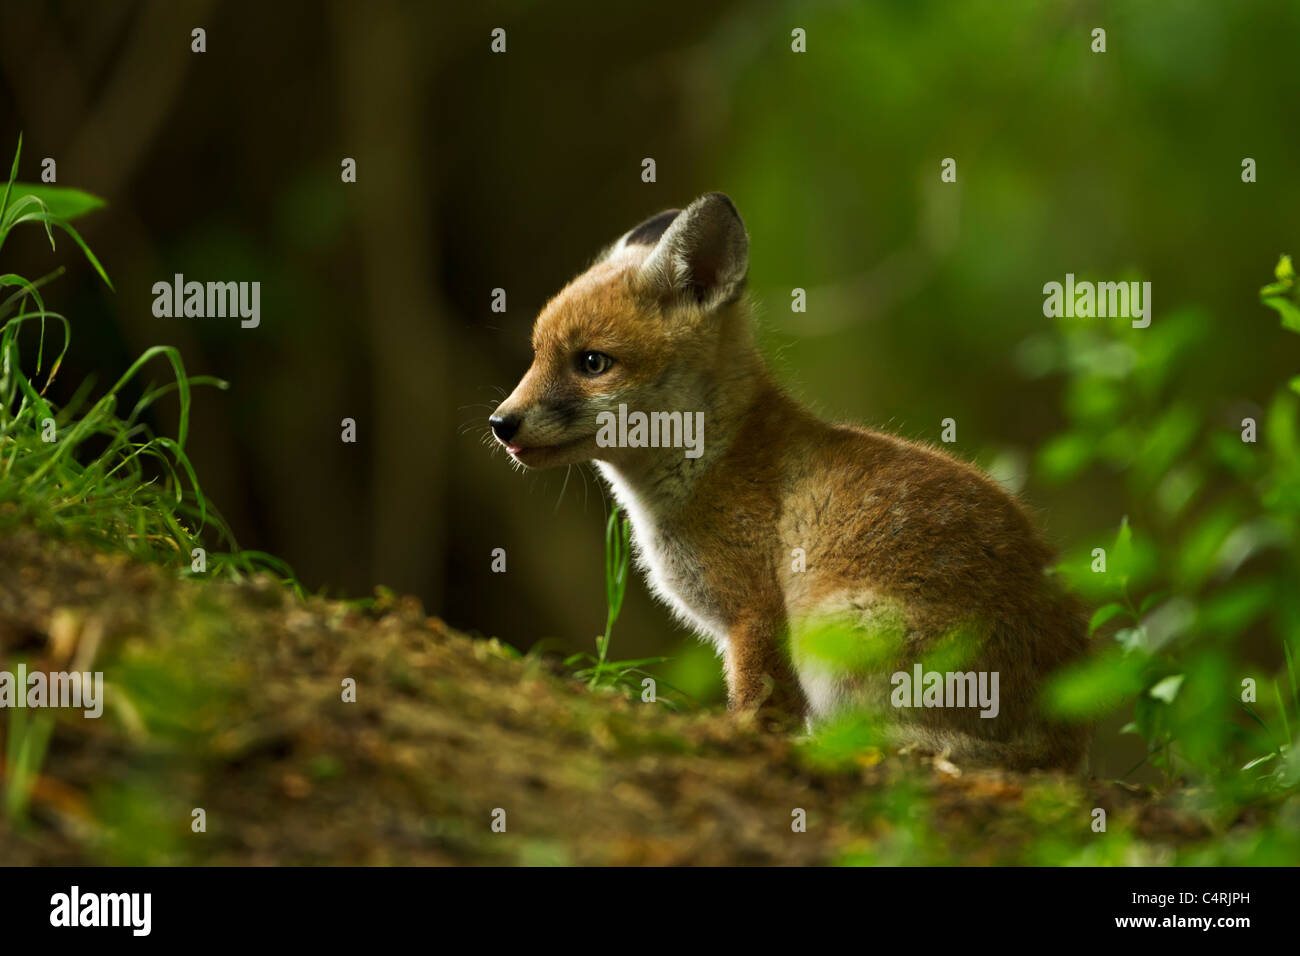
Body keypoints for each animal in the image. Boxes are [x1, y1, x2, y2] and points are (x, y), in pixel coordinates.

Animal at [490, 192, 1090, 771]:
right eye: (537, 355)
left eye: (592, 363)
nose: (500, 423)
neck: (709, 466)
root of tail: (1065, 735)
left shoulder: (756, 615)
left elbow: (756, 707)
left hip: (832, 632)